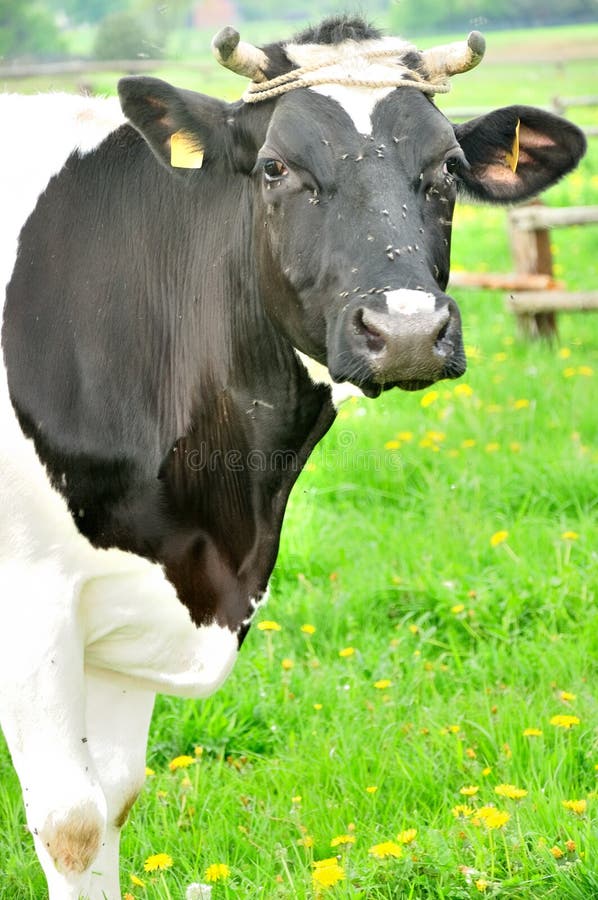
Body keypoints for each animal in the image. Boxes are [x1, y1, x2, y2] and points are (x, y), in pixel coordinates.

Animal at [0, 14, 585, 899]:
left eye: (449, 168)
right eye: (276, 166)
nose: (407, 330)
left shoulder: (136, 594)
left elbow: (115, 800)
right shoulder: (31, 603)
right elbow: (71, 822)